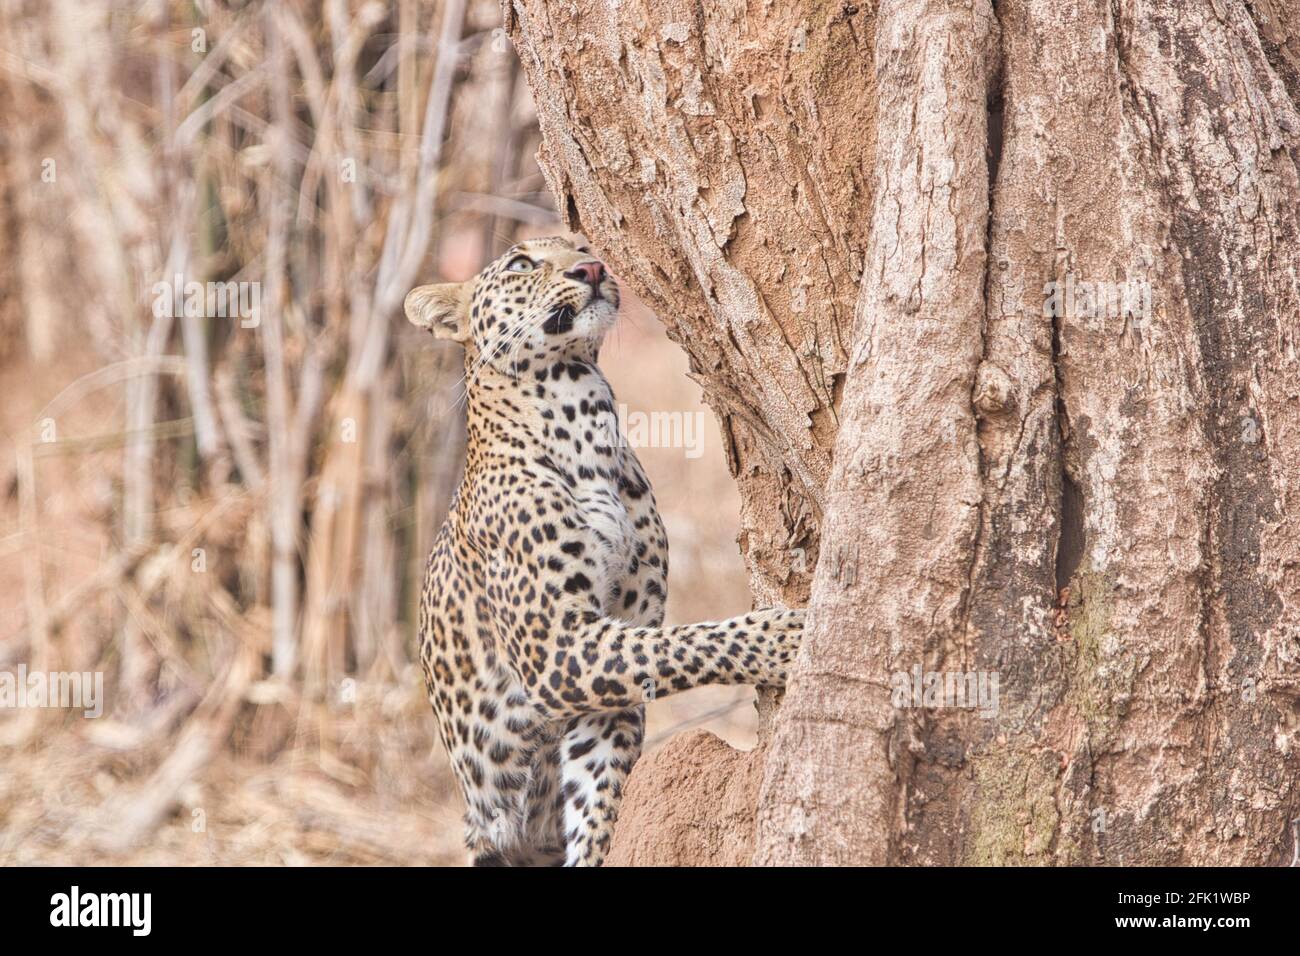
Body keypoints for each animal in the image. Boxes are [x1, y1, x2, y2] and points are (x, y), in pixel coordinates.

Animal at [405, 235, 804, 867]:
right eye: (522, 264)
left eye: (580, 245)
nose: (591, 268)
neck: (578, 415)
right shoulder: (556, 648)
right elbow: (680, 645)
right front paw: (781, 634)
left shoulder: (610, 660)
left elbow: (600, 790)